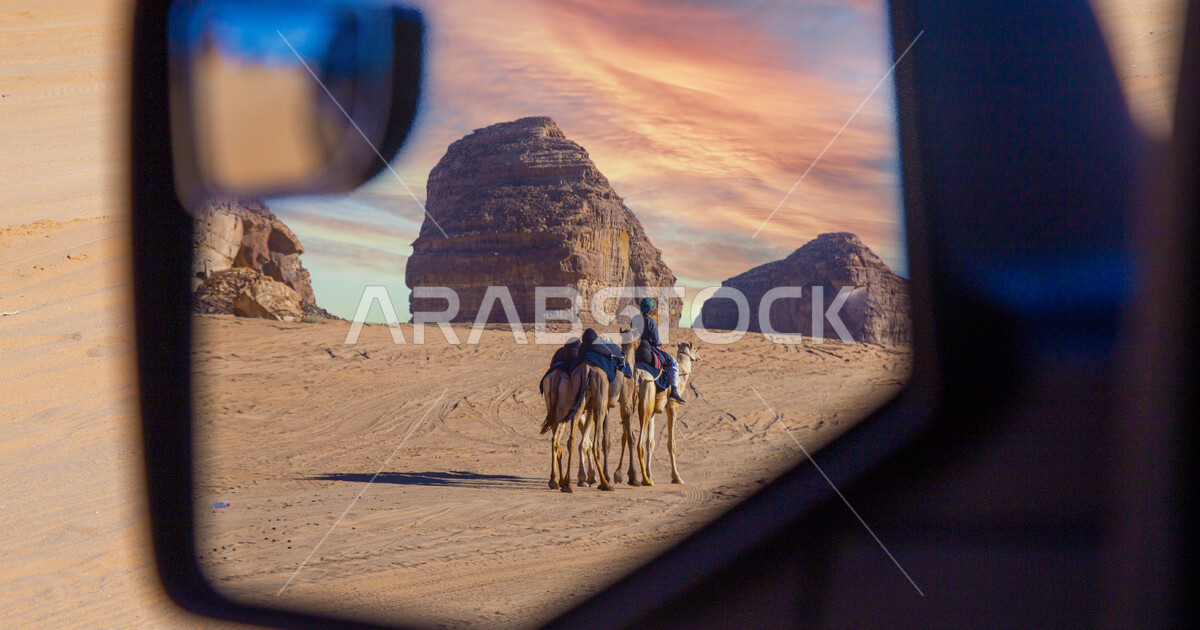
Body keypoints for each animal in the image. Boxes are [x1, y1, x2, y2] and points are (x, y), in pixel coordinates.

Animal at [631, 342, 700, 486]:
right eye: (696, 348)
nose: (699, 356)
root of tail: (638, 376)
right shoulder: (672, 406)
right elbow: (671, 444)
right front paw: (676, 477)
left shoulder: (653, 411)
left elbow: (650, 442)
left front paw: (650, 475)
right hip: (646, 403)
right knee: (639, 444)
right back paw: (645, 481)